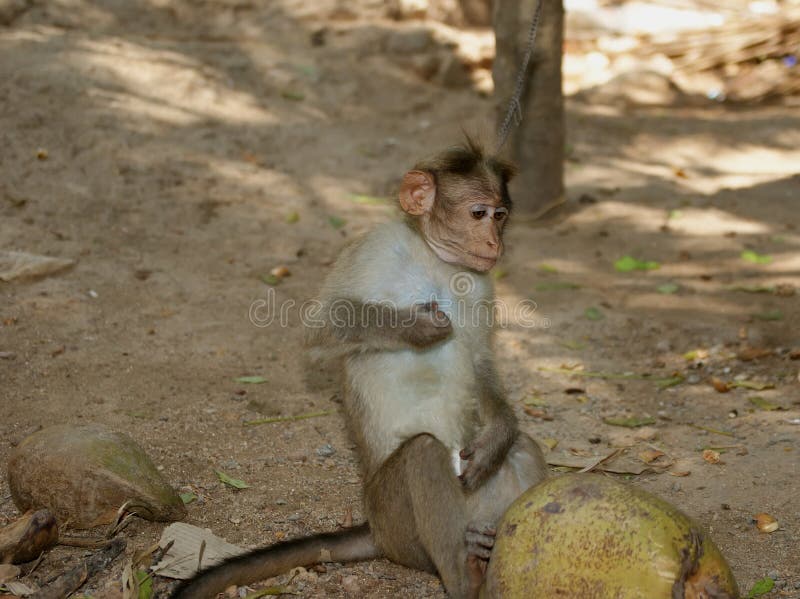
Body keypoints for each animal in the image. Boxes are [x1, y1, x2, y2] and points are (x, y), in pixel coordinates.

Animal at [171, 138, 548, 599]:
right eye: (478, 213)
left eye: (501, 215)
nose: (494, 242)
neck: (436, 261)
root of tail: (377, 531)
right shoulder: (375, 246)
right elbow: (322, 330)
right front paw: (415, 327)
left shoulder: (480, 283)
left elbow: (480, 360)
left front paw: (498, 435)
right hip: (397, 521)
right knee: (422, 453)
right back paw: (466, 580)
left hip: (476, 506)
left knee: (521, 449)